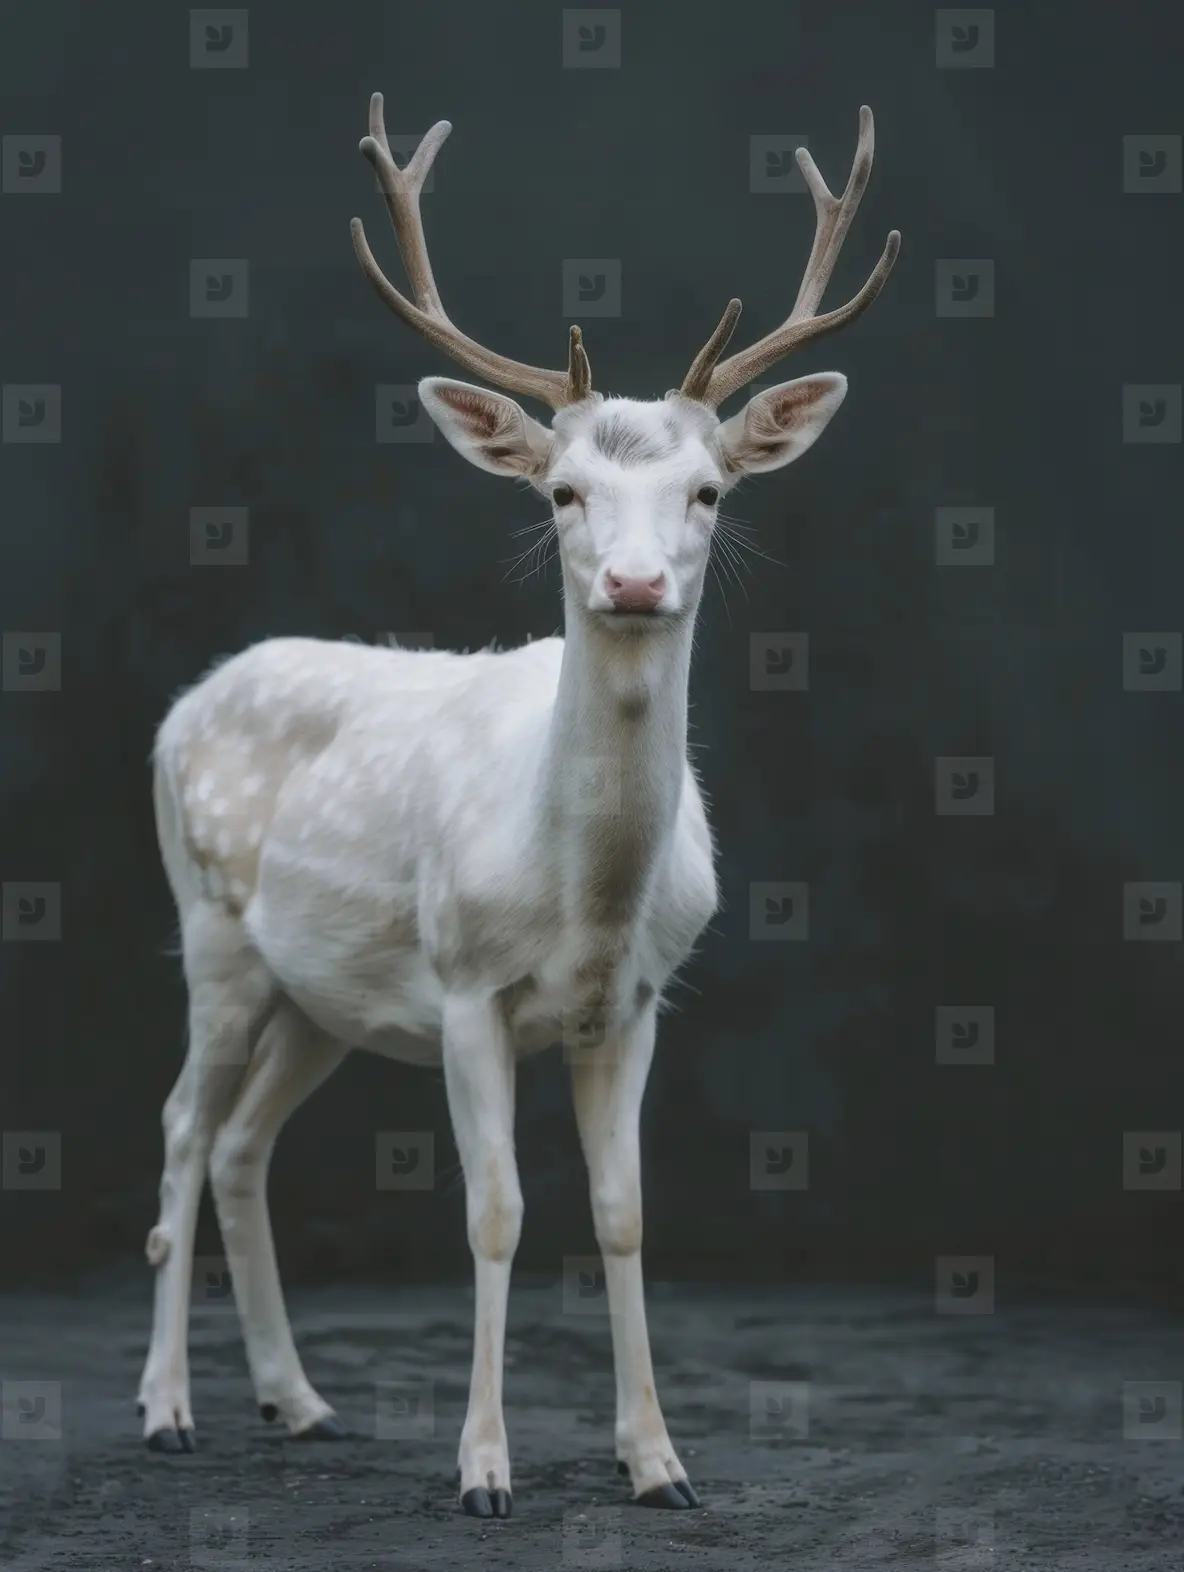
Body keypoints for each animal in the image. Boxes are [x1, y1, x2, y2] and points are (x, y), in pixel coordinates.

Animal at [135, 89, 899, 1518]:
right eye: (561, 493)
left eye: (707, 490)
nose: (636, 583)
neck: (580, 900)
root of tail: (185, 704)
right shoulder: (464, 983)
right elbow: (492, 1212)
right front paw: (482, 1468)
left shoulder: (639, 999)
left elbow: (622, 1213)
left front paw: (657, 1462)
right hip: (211, 932)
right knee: (180, 1128)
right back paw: (165, 1410)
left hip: (321, 991)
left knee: (243, 1145)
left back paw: (298, 1401)